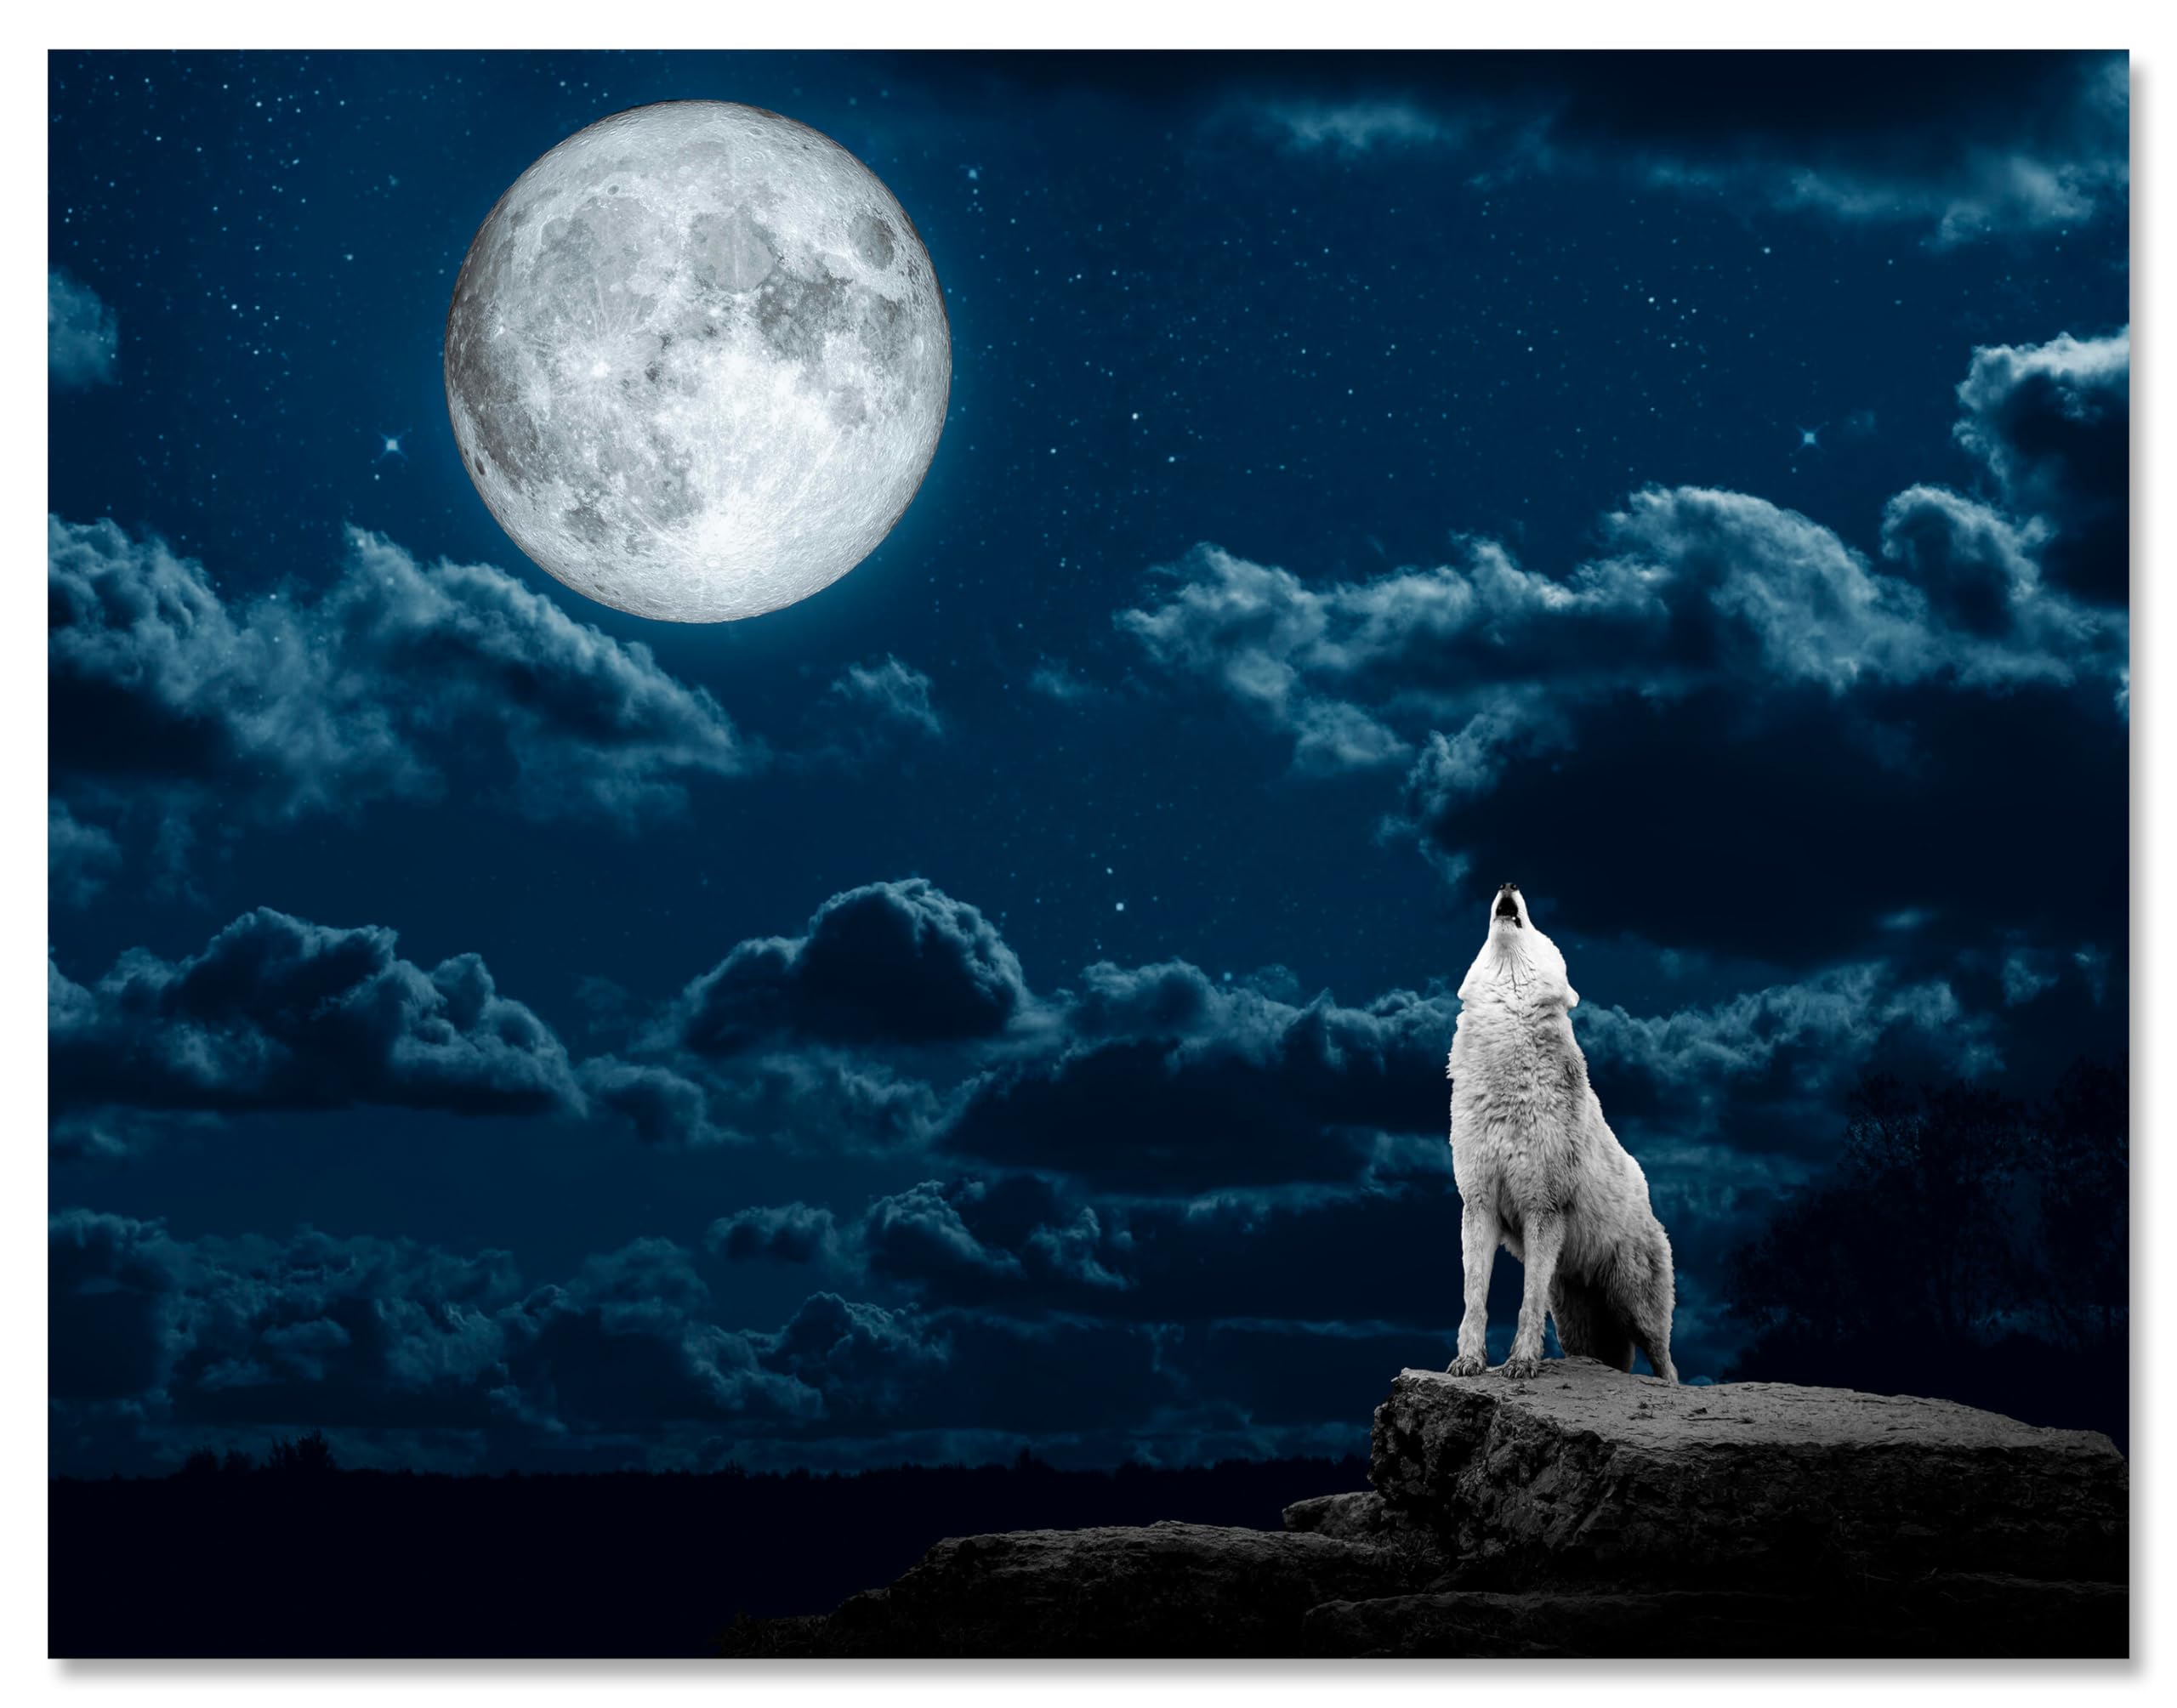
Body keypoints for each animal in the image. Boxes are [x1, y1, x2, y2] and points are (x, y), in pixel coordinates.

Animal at [1446, 882, 1677, 1382]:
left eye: (1538, 933)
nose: (1508, 883)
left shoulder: (1543, 1208)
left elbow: (1526, 1302)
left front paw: (1522, 1362)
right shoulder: (1478, 1206)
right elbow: (1474, 1298)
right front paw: (1469, 1360)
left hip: (1638, 1306)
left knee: (1666, 1360)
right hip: (1579, 1324)